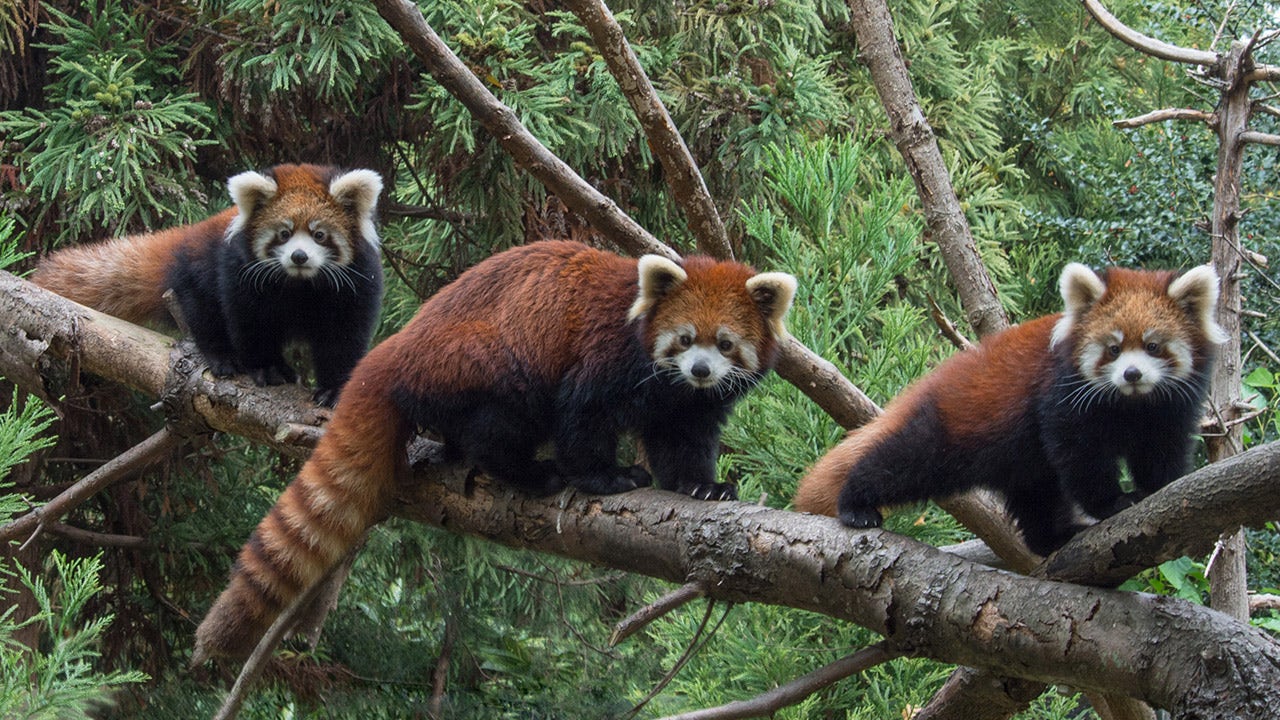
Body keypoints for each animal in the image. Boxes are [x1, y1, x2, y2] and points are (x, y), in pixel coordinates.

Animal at [32, 163, 384, 406]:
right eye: (284, 234)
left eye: (319, 234)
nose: (299, 256)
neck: (300, 284)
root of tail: (185, 237)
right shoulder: (240, 273)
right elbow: (251, 323)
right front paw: (269, 368)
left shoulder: (355, 284)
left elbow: (343, 337)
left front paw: (335, 387)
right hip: (197, 275)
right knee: (205, 315)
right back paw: (223, 357)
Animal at [191, 240, 797, 661]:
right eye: (684, 338)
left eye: (724, 344)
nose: (699, 370)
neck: (670, 381)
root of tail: (393, 352)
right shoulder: (606, 355)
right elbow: (583, 416)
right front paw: (606, 477)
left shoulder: (687, 404)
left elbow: (683, 440)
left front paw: (702, 486)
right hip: (482, 359)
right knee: (503, 421)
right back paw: (528, 472)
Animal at [794, 262, 1225, 556]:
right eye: (1113, 349)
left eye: (1152, 346)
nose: (1132, 374)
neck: (1129, 403)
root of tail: (939, 379)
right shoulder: (1063, 400)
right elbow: (1081, 459)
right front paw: (1111, 503)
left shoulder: (1168, 408)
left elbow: (1162, 450)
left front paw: (1160, 488)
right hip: (955, 428)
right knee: (899, 461)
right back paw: (855, 504)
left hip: (1019, 463)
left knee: (1036, 496)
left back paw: (1051, 538)